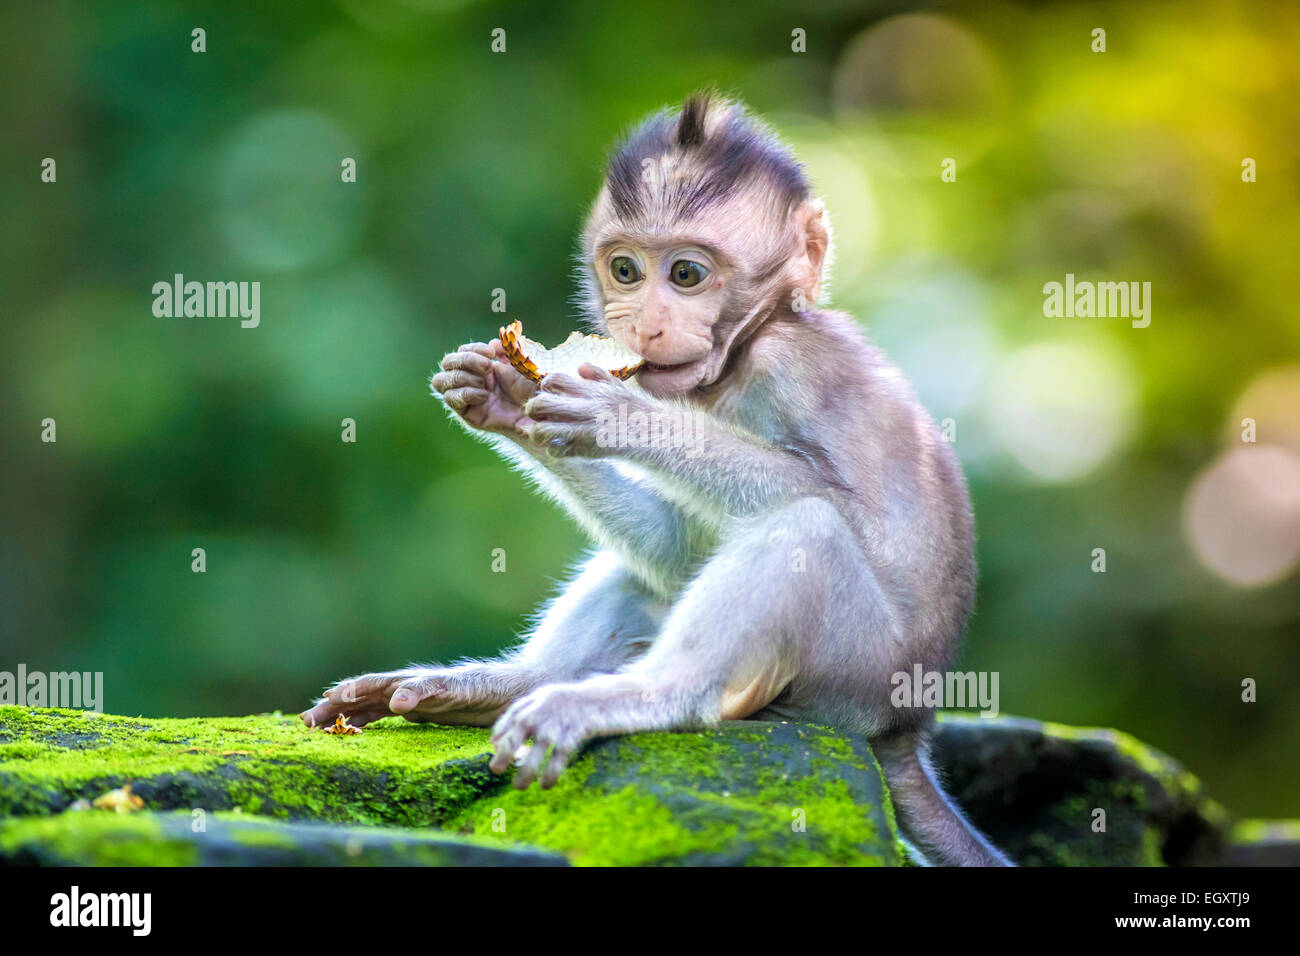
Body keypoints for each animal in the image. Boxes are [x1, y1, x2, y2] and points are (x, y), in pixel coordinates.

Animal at [301, 92, 1012, 867]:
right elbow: (676, 547)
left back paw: (645, 696)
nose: (642, 324)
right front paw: (506, 397)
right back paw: (500, 687)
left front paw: (624, 418)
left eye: (687, 276)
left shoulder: (789, 369)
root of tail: (904, 730)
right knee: (651, 573)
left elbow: (836, 502)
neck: (742, 352)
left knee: (805, 529)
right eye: (625, 270)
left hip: (852, 672)